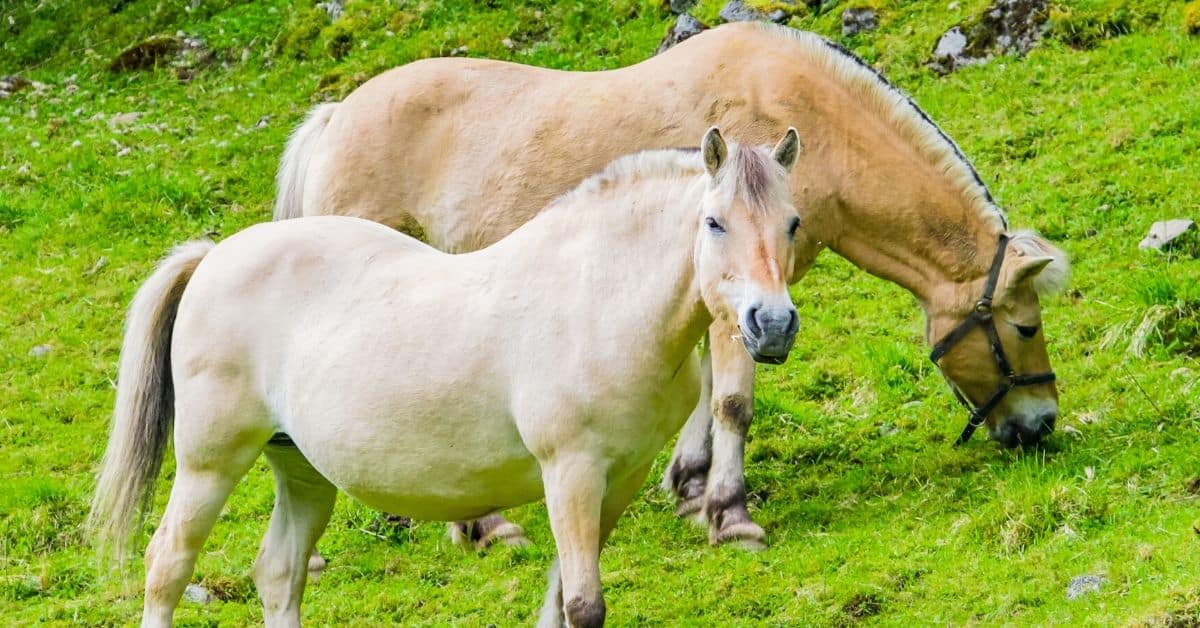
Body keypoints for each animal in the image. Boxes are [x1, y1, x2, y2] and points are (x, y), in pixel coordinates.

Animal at [88, 129, 804, 627]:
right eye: (714, 222)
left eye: (792, 222)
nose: (771, 324)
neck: (595, 297)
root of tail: (215, 256)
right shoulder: (571, 474)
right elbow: (582, 605)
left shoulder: (616, 483)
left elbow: (560, 600)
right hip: (210, 464)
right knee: (167, 565)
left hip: (303, 471)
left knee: (278, 574)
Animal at [274, 22, 1069, 552]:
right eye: (1026, 328)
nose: (1040, 426)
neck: (806, 121)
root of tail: (332, 120)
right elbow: (733, 399)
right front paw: (730, 512)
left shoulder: (737, 303)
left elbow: (708, 390)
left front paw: (690, 486)